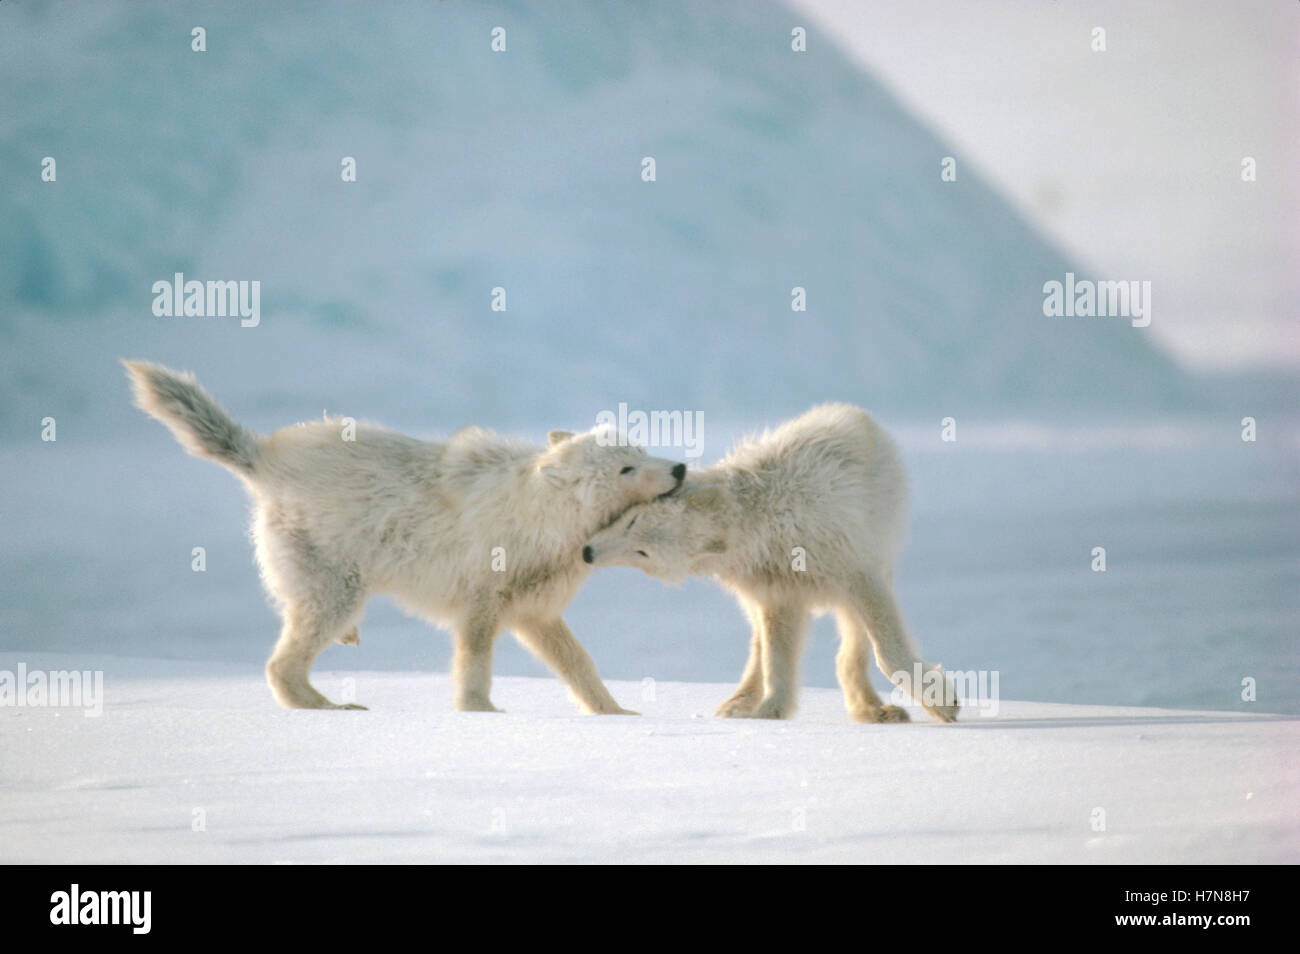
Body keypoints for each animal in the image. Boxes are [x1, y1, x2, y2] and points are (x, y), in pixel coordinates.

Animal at [124, 361, 684, 712]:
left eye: (641, 449)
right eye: (626, 467)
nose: (679, 468)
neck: (542, 520)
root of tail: (265, 455)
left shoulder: (536, 612)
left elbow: (580, 666)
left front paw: (615, 713)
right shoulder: (480, 603)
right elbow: (474, 664)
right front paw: (479, 710)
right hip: (337, 589)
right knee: (282, 664)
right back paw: (330, 704)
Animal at [582, 403, 958, 723]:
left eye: (641, 551)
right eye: (631, 522)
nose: (588, 552)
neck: (765, 519)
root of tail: (852, 411)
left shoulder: (855, 570)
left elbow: (886, 652)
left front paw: (941, 702)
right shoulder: (777, 593)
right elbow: (775, 661)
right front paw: (768, 714)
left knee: (849, 646)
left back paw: (873, 709)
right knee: (760, 647)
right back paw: (738, 702)